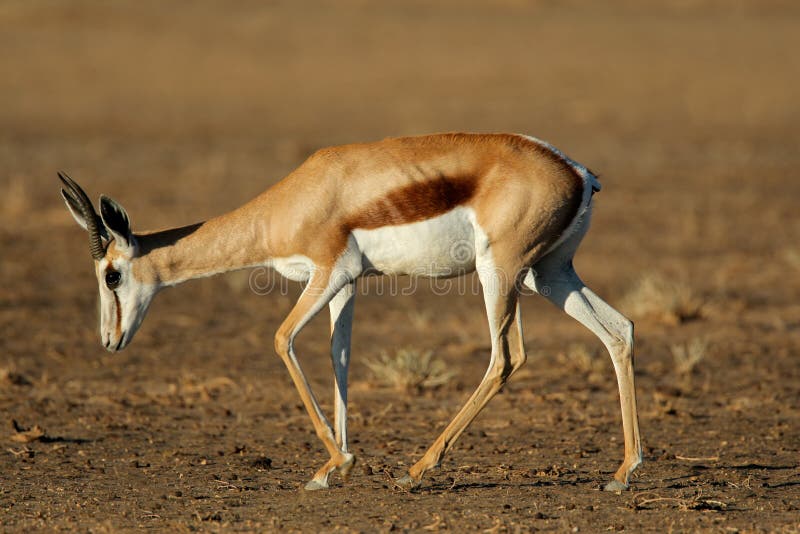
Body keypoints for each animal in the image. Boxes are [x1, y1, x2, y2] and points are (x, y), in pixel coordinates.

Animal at [59, 133, 642, 492]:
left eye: (111, 275)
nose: (110, 340)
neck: (298, 199)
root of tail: (578, 172)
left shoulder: (327, 275)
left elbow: (282, 340)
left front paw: (335, 464)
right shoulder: (348, 285)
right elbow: (339, 356)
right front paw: (333, 468)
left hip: (499, 273)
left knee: (506, 358)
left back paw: (417, 469)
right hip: (549, 274)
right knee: (620, 331)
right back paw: (622, 472)